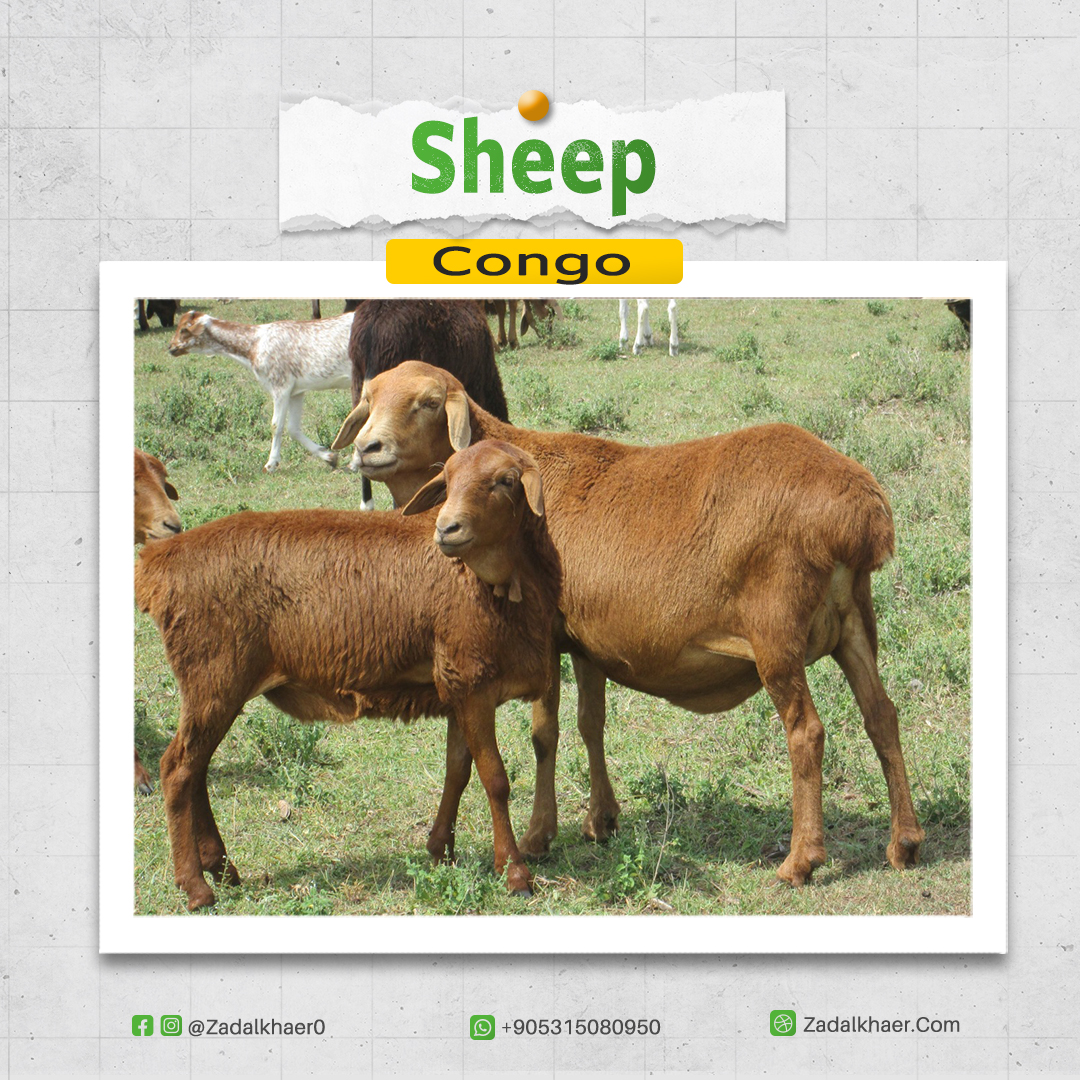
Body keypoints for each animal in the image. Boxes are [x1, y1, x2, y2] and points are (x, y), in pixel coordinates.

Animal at [133, 440, 561, 910]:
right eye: (447, 481)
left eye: (506, 481)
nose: (447, 529)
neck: (491, 585)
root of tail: (159, 563)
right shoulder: (472, 680)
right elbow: (495, 779)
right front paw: (515, 872)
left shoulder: (458, 684)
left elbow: (457, 770)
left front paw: (440, 850)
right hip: (213, 677)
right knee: (177, 769)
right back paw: (195, 886)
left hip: (214, 685)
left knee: (197, 770)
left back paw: (223, 868)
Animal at [167, 309, 356, 474]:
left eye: (183, 329)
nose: (170, 347)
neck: (254, 344)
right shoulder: (296, 391)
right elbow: (293, 429)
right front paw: (329, 457)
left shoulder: (280, 386)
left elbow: (276, 426)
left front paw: (270, 465)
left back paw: (354, 464)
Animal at [333, 362, 925, 888]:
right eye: (370, 397)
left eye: (430, 402)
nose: (368, 449)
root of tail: (861, 513)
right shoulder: (586, 640)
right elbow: (590, 723)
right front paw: (602, 820)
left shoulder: (545, 634)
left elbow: (544, 734)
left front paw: (538, 837)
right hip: (854, 620)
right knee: (882, 715)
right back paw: (904, 842)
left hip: (775, 631)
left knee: (806, 732)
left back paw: (800, 861)